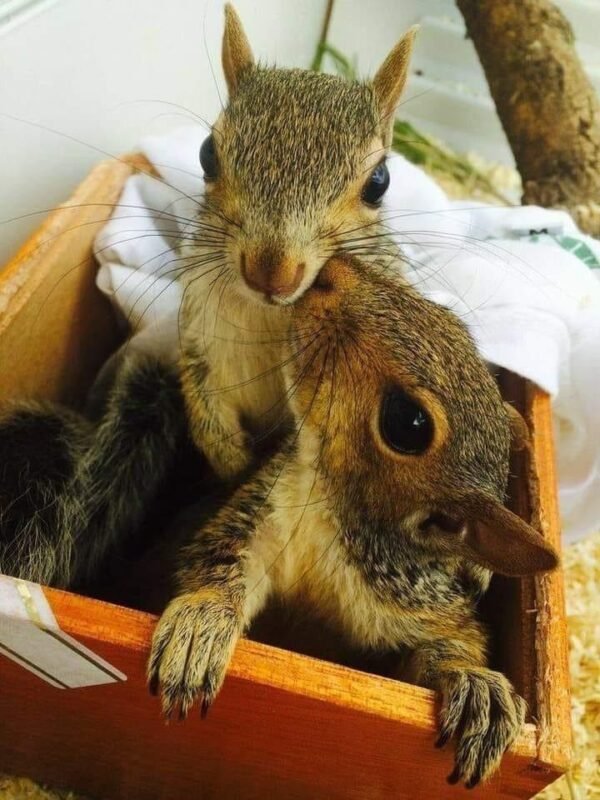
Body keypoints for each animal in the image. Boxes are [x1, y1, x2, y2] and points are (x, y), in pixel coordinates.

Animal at [148, 253, 559, 789]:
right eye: (447, 316)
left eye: (408, 423)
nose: (331, 271)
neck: (333, 510)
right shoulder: (262, 511)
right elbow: (220, 555)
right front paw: (203, 621)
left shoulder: (414, 604)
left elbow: (454, 640)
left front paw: (473, 685)